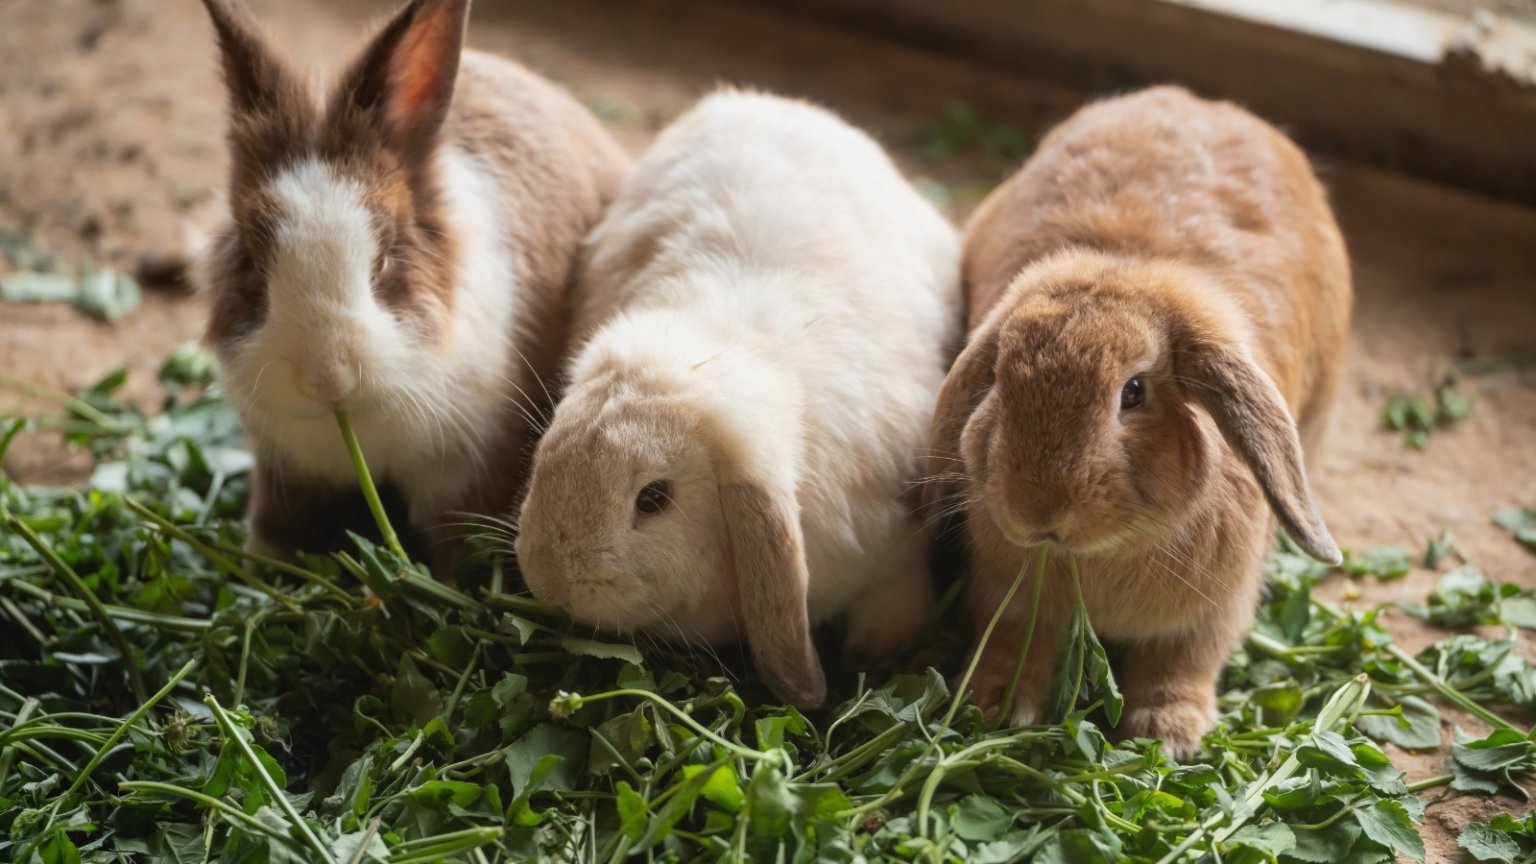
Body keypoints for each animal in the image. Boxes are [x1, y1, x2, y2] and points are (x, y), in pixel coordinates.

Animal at [196, 0, 629, 576]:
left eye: (385, 260)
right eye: (249, 259)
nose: (327, 378)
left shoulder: (469, 473)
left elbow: (457, 550)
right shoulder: (285, 469)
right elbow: (278, 527)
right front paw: (259, 567)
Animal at [512, 90, 963, 708]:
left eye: (654, 498)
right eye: (546, 457)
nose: (551, 581)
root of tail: (770, 100)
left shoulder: (895, 545)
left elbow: (895, 600)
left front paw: (871, 651)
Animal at [924, 86, 1352, 759]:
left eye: (1133, 393)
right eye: (999, 380)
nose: (1038, 511)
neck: (1103, 555)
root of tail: (1198, 101)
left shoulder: (1208, 618)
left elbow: (1181, 666)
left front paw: (1168, 736)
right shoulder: (1005, 597)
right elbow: (1016, 643)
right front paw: (994, 706)